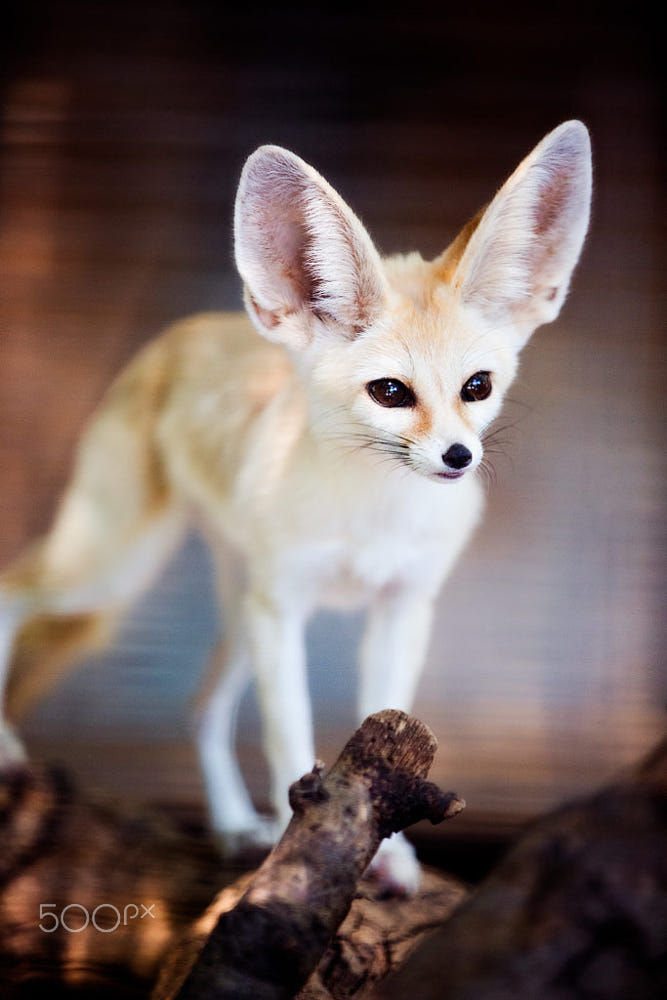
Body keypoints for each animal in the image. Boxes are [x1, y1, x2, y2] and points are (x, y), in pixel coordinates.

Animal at [0, 121, 592, 892]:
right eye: (391, 392)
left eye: (477, 386)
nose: (458, 458)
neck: (374, 517)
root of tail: (187, 329)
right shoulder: (283, 610)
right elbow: (291, 744)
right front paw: (299, 856)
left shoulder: (402, 609)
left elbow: (381, 741)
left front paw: (386, 855)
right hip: (115, 567)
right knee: (13, 593)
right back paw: (9, 748)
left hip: (231, 610)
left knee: (200, 710)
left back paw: (228, 826)